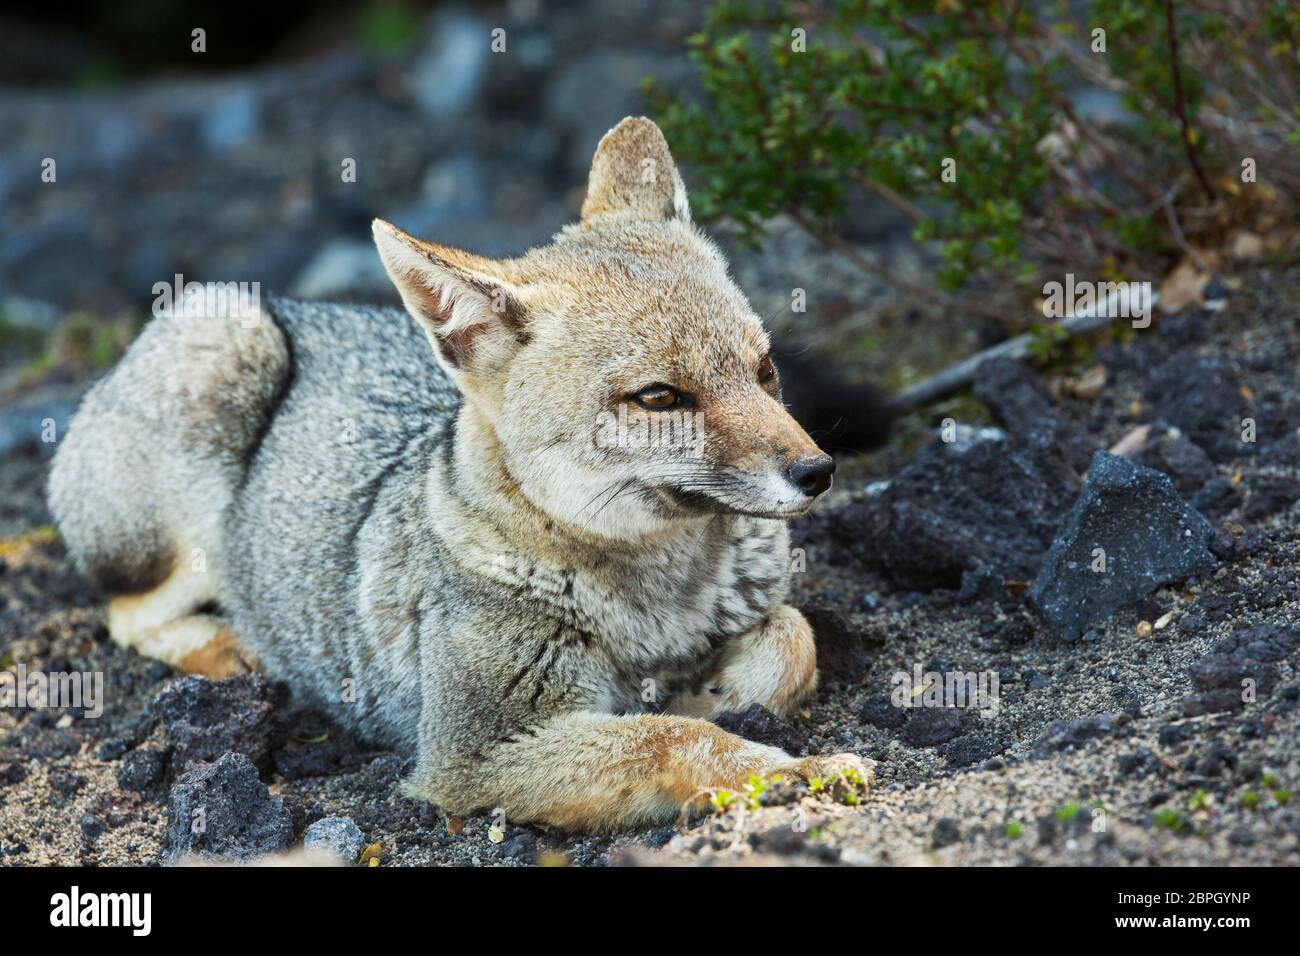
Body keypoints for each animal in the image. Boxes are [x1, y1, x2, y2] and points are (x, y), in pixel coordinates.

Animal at [48, 117, 873, 832]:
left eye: (764, 371)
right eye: (660, 398)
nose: (817, 471)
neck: (660, 606)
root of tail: (283, 302)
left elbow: (794, 637)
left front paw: (715, 695)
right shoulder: (470, 753)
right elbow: (661, 737)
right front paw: (786, 771)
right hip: (223, 359)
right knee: (126, 611)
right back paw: (227, 648)